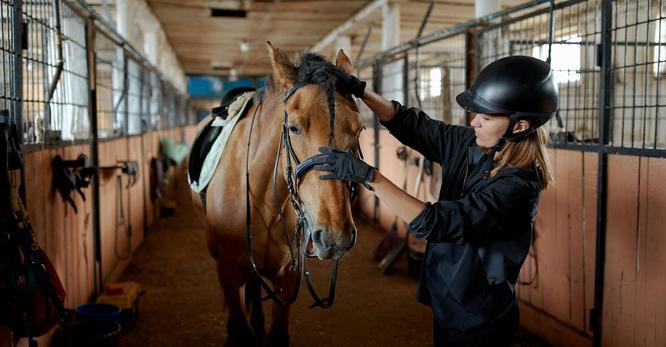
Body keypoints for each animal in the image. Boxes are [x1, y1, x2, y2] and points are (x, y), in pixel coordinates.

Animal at [189, 44, 360, 347]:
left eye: (359, 129)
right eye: (294, 127)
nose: (336, 237)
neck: (264, 201)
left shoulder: (288, 277)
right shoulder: (228, 272)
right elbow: (239, 329)